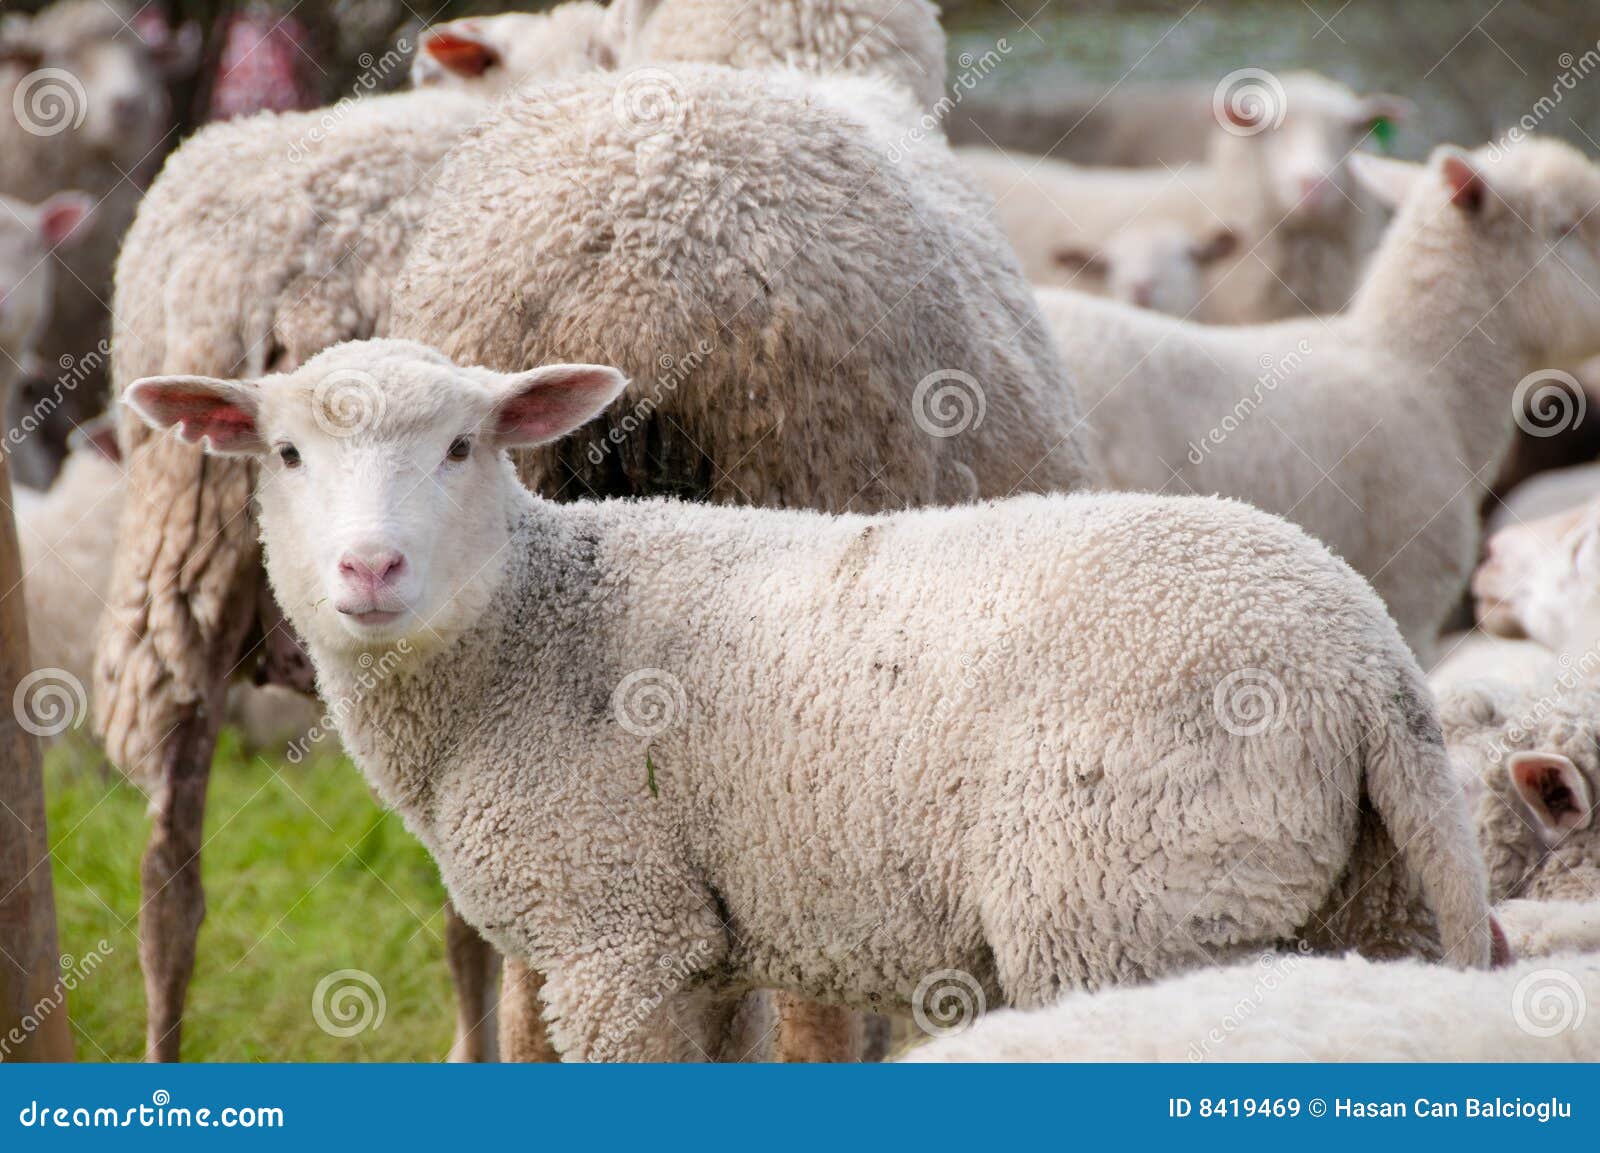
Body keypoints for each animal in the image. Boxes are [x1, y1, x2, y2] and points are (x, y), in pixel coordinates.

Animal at [125, 337, 1496, 1059]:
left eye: (465, 447)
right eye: (286, 454)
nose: (369, 570)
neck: (524, 632)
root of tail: (1363, 659)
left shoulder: (616, 930)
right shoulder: (701, 942)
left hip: (1120, 895)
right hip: (1363, 891)